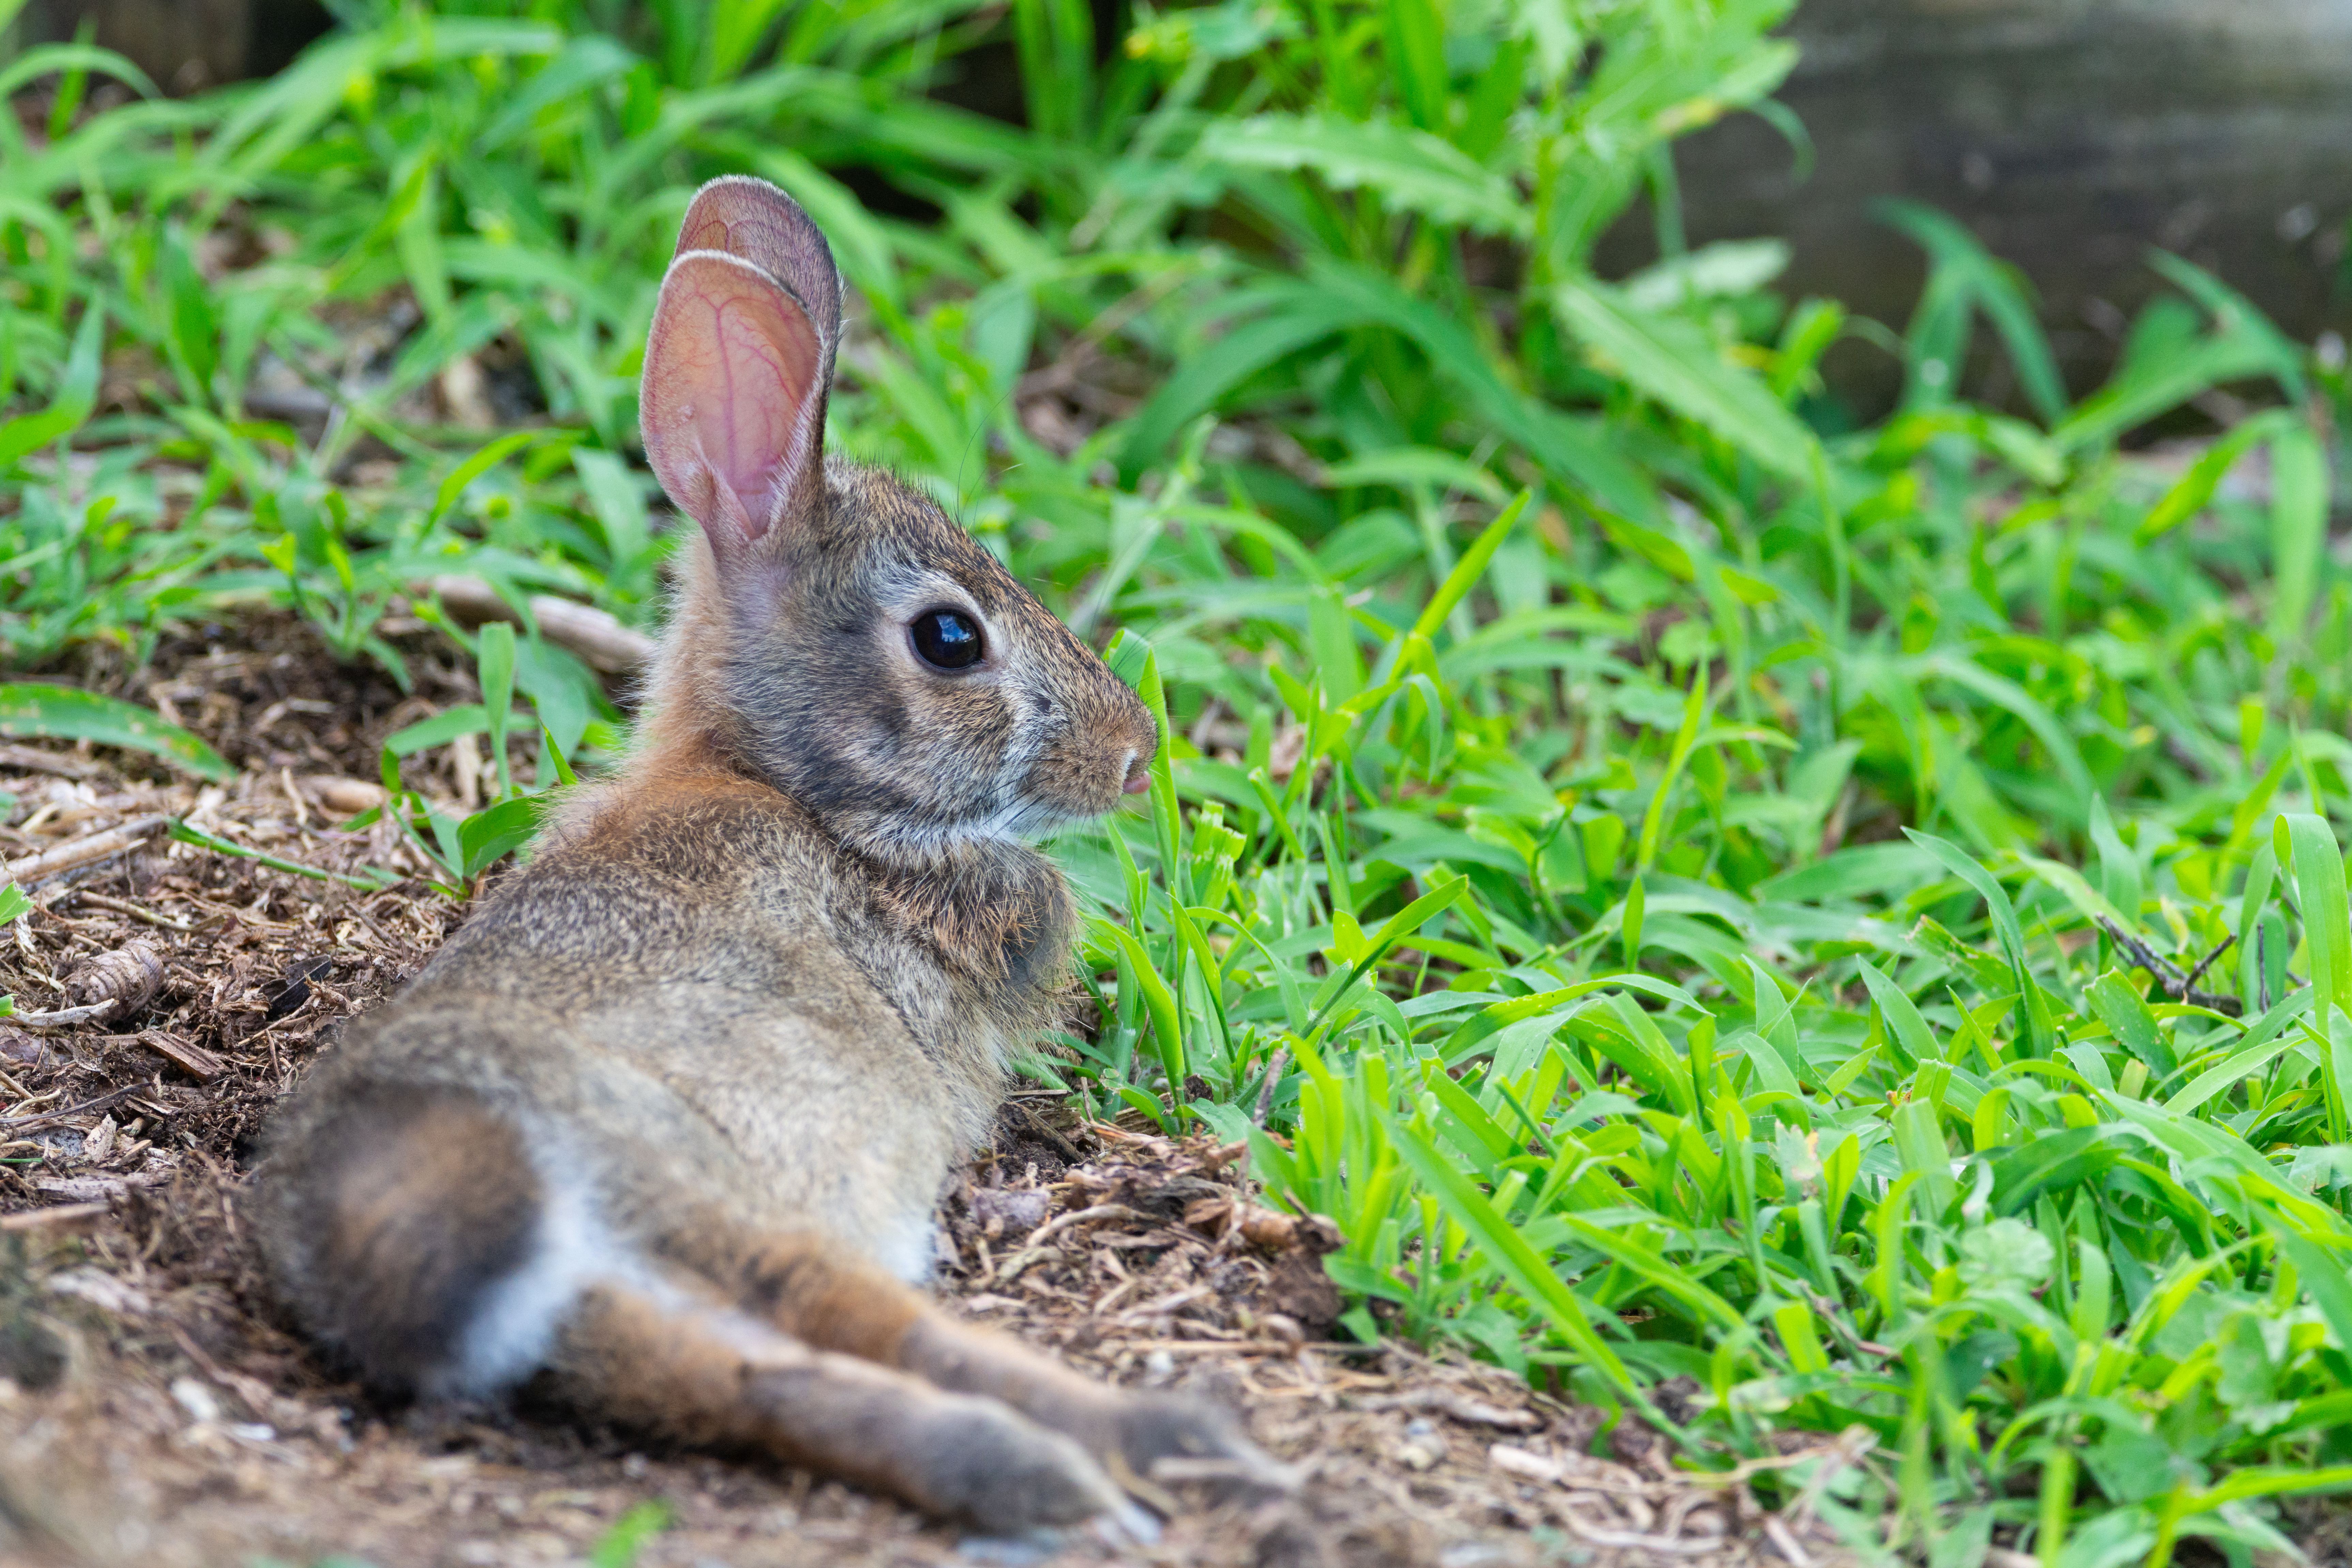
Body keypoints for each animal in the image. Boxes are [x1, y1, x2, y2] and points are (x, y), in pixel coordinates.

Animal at [252, 175, 1273, 1535]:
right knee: (858, 1324)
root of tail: (374, 1216)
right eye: (950, 638)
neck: (793, 789)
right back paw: (1153, 1453)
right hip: (709, 1179)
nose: (1129, 756)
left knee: (753, 1377)